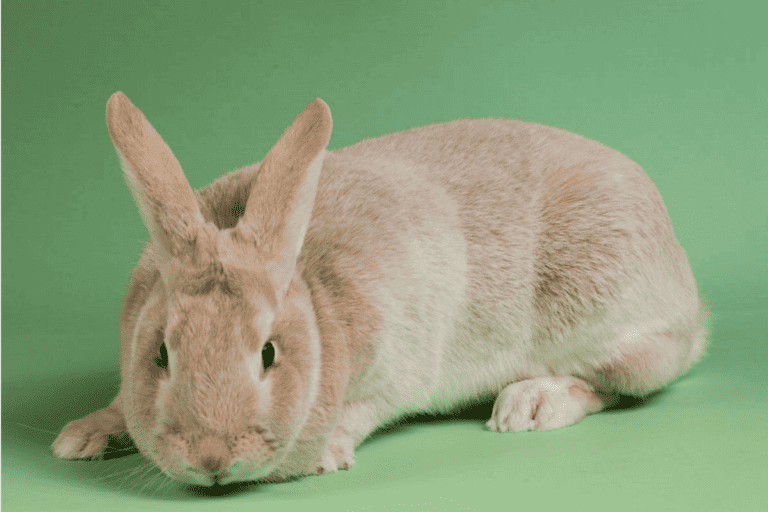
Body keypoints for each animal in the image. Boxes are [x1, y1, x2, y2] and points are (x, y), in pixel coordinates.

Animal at [52, 92, 709, 486]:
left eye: (268, 353)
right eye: (161, 354)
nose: (212, 459)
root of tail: (688, 292)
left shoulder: (399, 361)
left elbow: (368, 407)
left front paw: (325, 454)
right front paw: (80, 435)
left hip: (614, 325)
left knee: (622, 383)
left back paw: (528, 405)